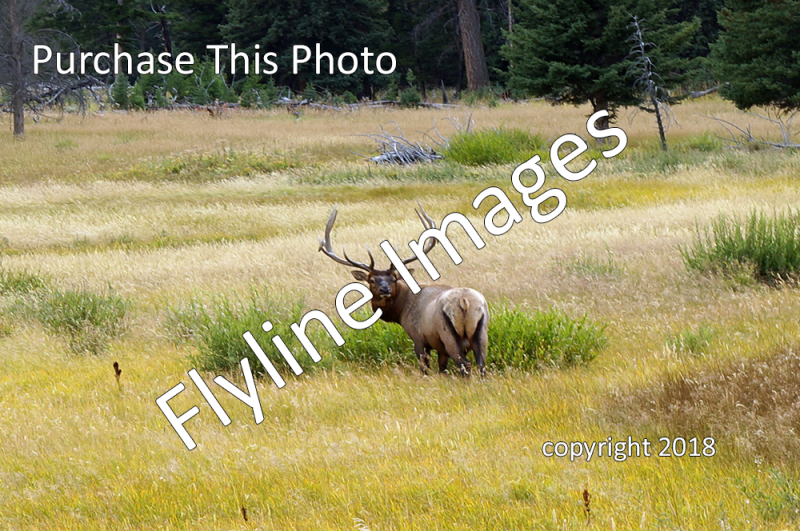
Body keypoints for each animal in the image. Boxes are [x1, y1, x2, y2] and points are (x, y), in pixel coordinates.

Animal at [319, 204, 489, 377]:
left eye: (394, 278)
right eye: (371, 280)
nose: (385, 289)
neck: (402, 312)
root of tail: (464, 301)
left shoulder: (419, 338)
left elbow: (425, 368)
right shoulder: (440, 348)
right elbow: (442, 369)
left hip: (449, 335)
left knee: (465, 366)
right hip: (481, 334)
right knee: (481, 366)